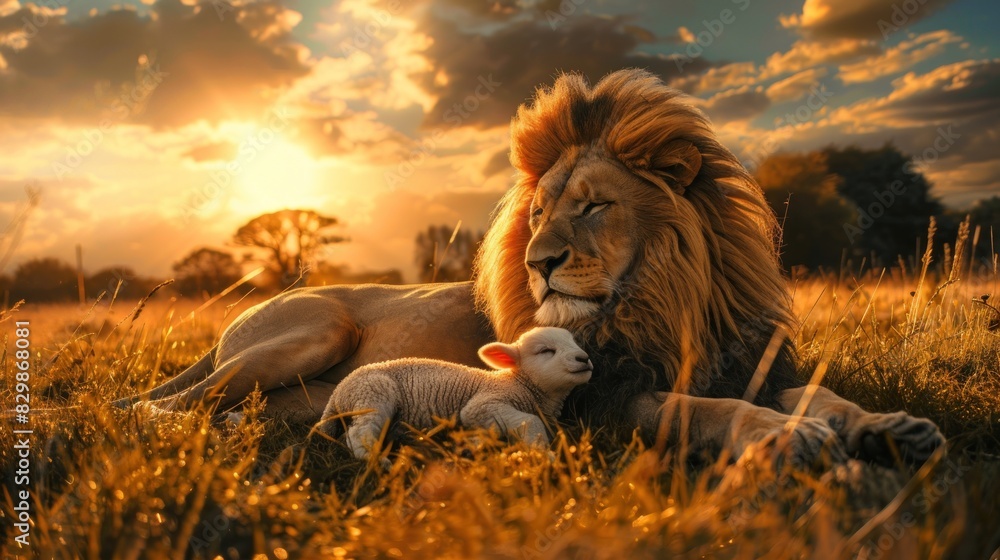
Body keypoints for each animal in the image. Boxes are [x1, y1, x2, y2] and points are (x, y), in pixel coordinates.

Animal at [318, 327, 593, 462]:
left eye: (575, 342)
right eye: (546, 351)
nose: (584, 358)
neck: (521, 384)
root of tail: (337, 392)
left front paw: (470, 446)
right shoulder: (482, 404)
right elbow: (531, 421)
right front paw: (546, 454)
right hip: (373, 394)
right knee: (358, 433)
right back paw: (375, 461)